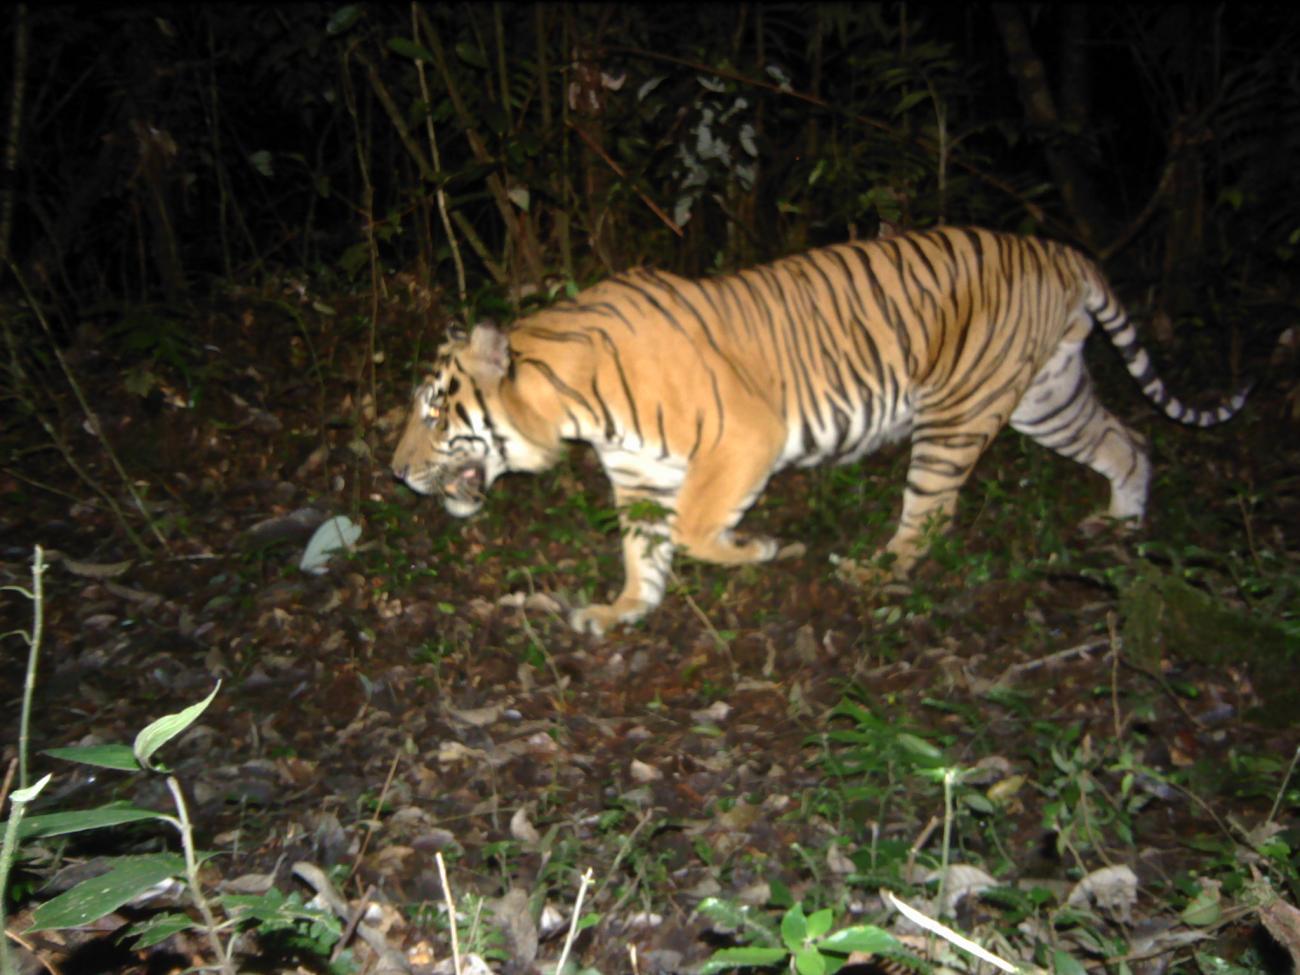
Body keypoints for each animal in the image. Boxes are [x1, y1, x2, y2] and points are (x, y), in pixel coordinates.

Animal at [391, 226, 1250, 635]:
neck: (571, 398)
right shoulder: (635, 472)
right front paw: (624, 609)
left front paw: (760, 549)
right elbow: (644, 546)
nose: (396, 472)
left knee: (930, 515)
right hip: (1047, 394)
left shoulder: (745, 437)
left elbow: (696, 527)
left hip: (957, 412)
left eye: (433, 412)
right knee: (1129, 441)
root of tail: (1060, 248)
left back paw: (872, 570)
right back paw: (1123, 524)